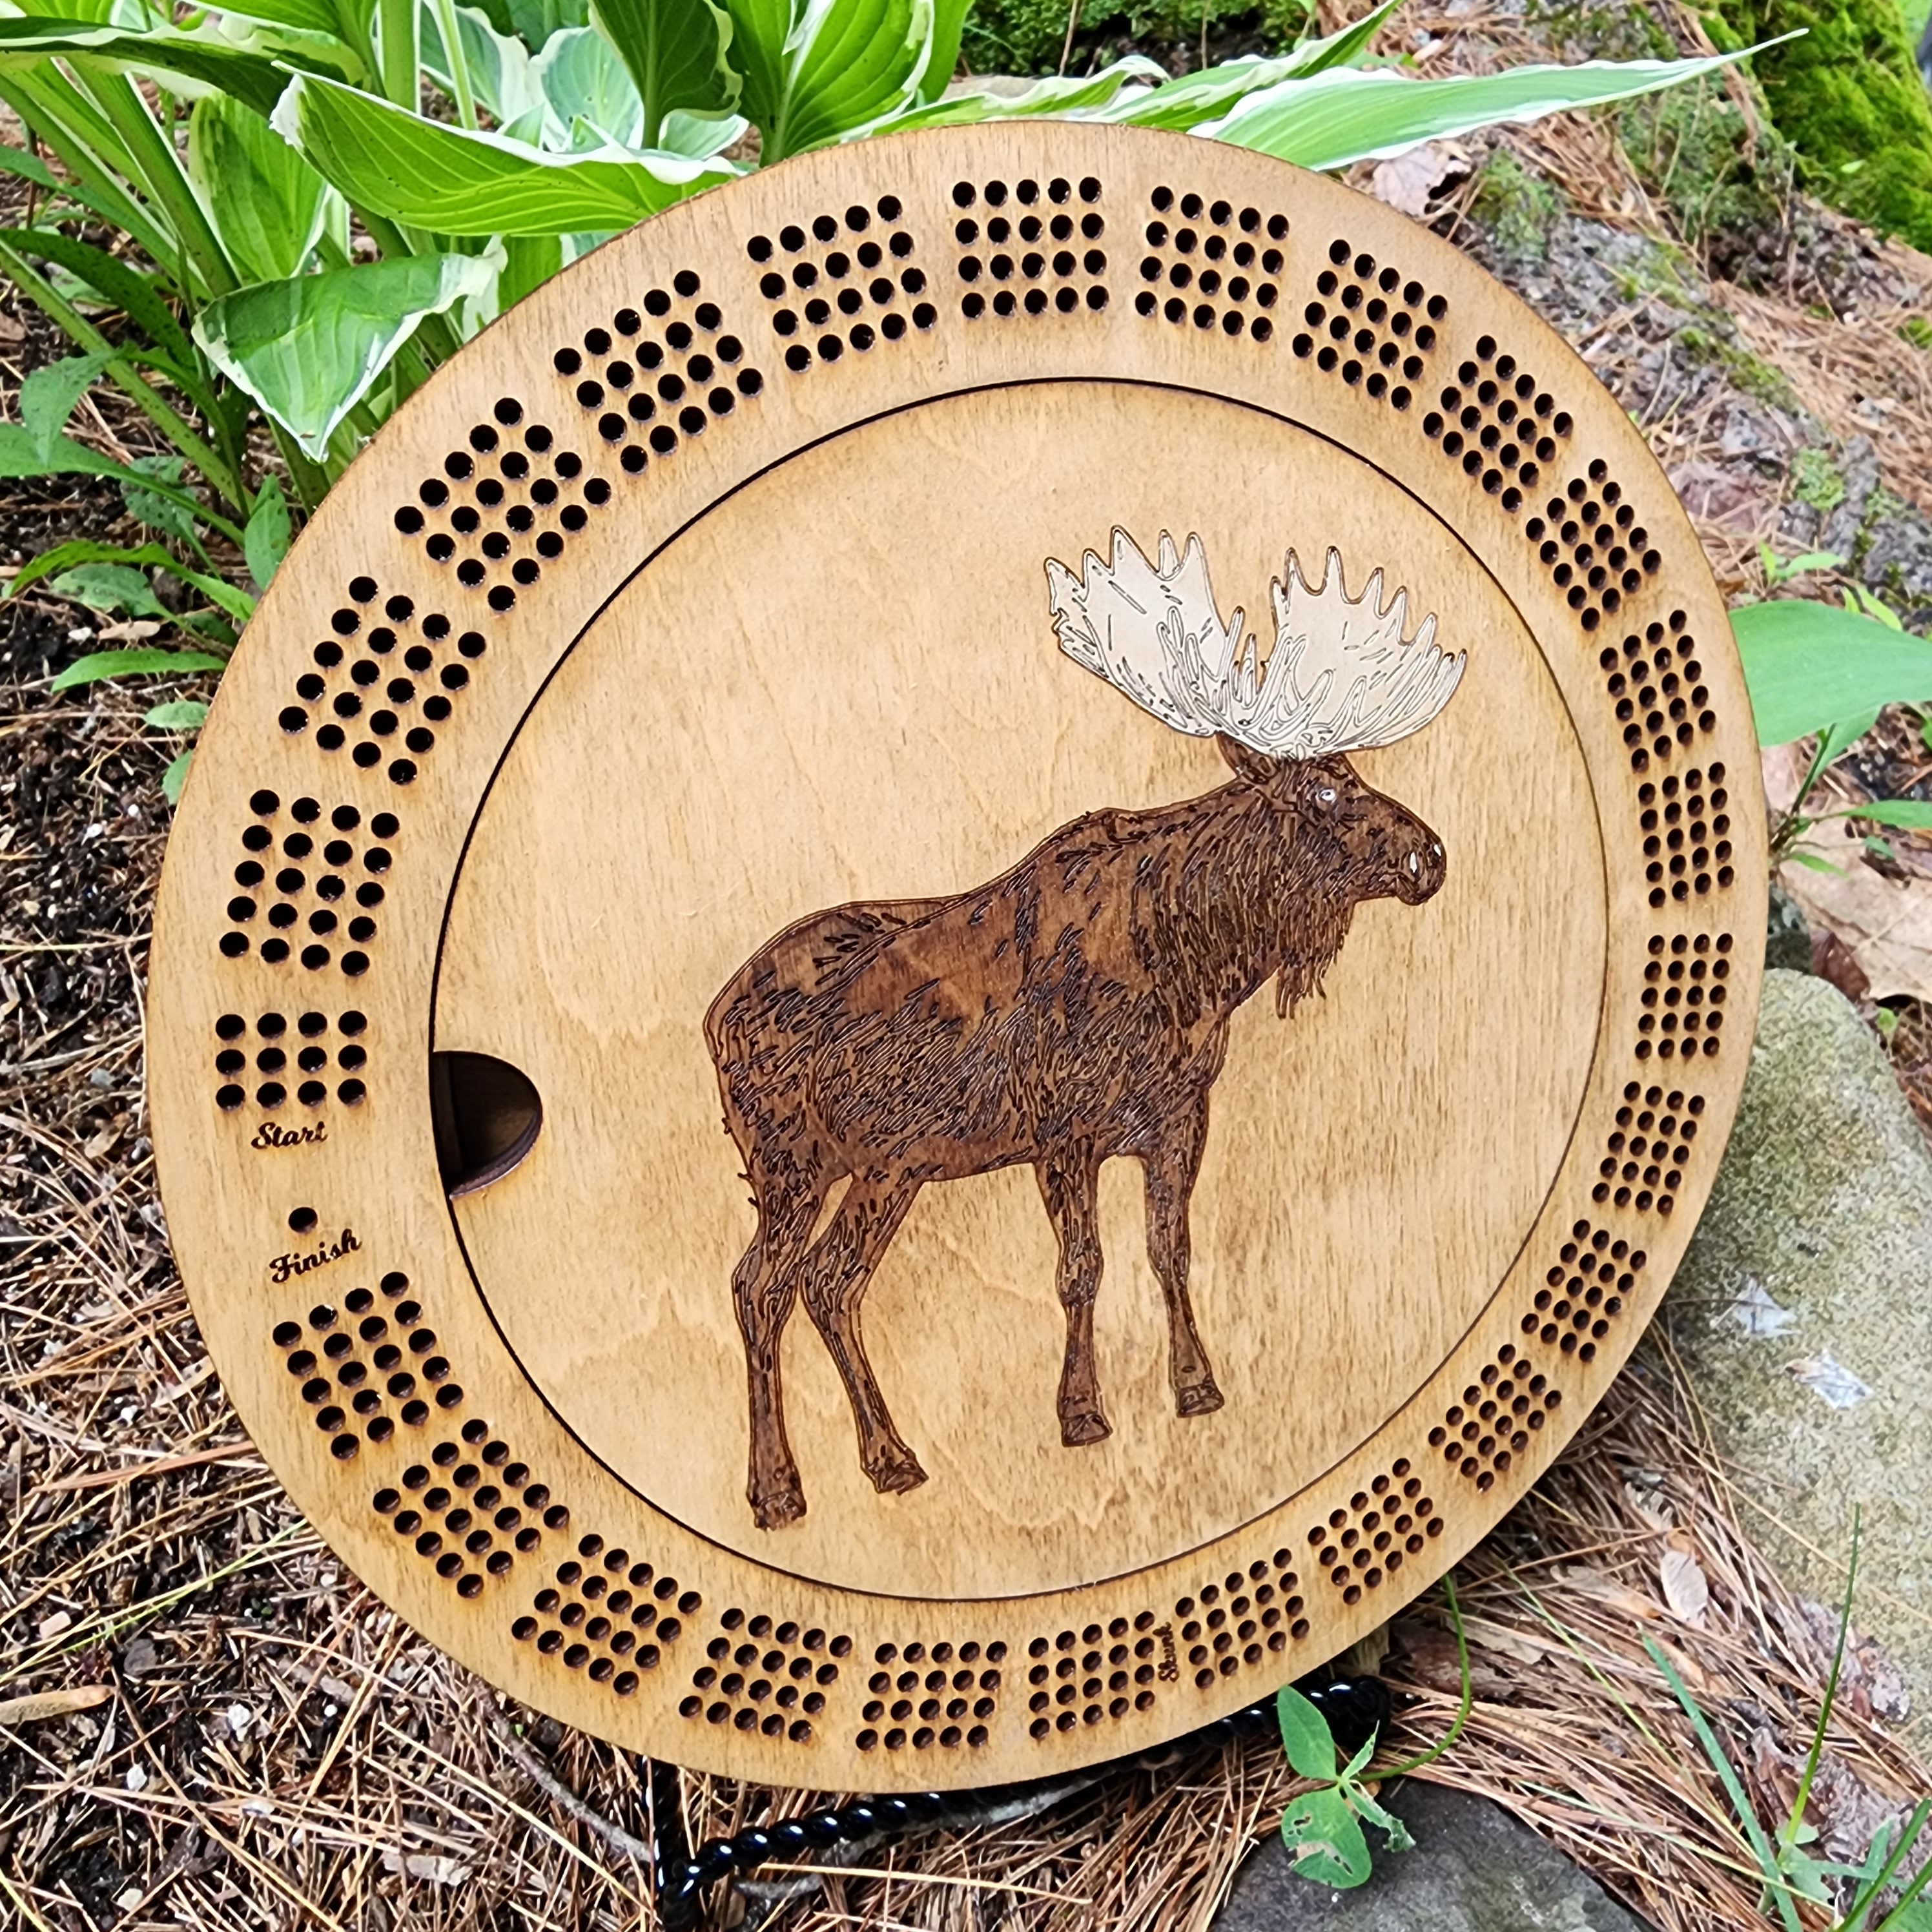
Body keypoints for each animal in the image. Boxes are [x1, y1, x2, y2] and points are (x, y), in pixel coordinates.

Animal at [706, 530, 1466, 1529]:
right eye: (1324, 795)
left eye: (1359, 776)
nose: (1429, 853)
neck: (1196, 967)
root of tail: (711, 1023)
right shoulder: (1061, 1129)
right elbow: (1083, 1268)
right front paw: (1080, 1414)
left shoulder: (1179, 1113)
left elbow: (1169, 1249)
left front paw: (1197, 1387)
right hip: (793, 1166)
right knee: (761, 1286)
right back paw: (781, 1488)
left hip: (886, 1170)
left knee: (825, 1284)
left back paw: (885, 1462)